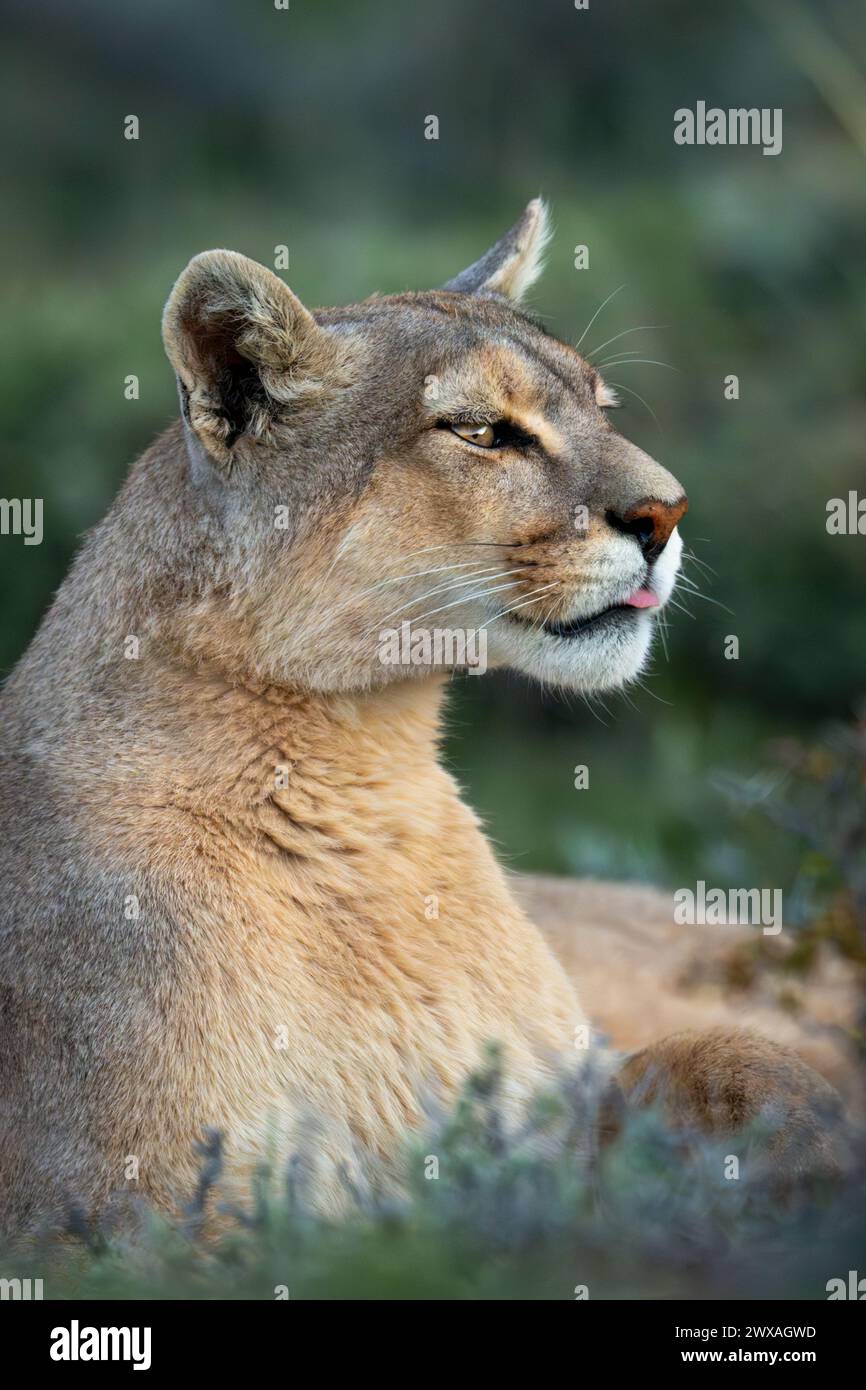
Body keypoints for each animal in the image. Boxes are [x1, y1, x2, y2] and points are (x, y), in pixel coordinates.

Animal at [0, 200, 843, 1233]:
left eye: (600, 408)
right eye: (479, 431)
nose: (667, 513)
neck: (372, 780)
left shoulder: (561, 1104)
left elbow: (726, 1059)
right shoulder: (127, 1204)